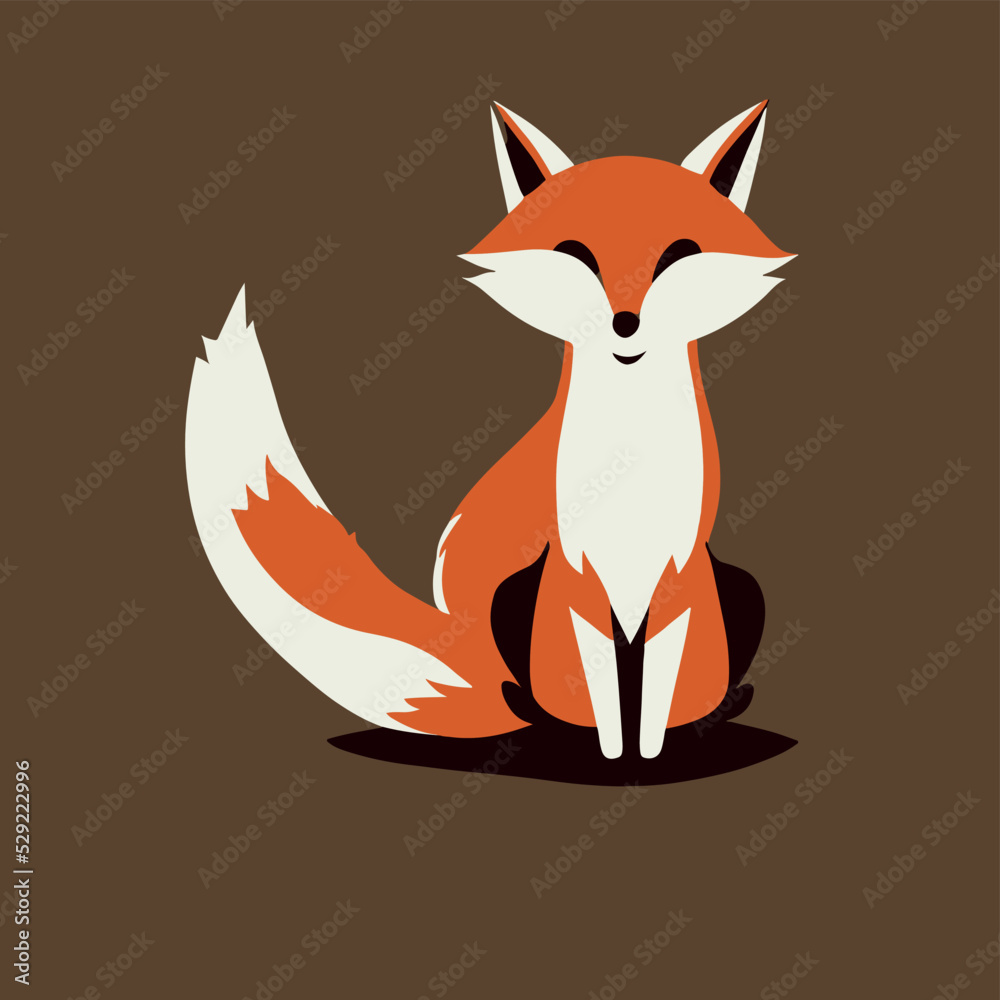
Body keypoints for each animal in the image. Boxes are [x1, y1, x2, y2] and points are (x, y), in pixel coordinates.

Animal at [185, 100, 795, 761]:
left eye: (679, 254)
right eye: (576, 254)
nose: (625, 323)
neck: (628, 461)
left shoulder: (680, 576)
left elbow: (655, 696)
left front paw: (648, 757)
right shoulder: (575, 580)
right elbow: (605, 697)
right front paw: (614, 756)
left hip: (740, 585)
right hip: (515, 599)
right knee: (527, 700)